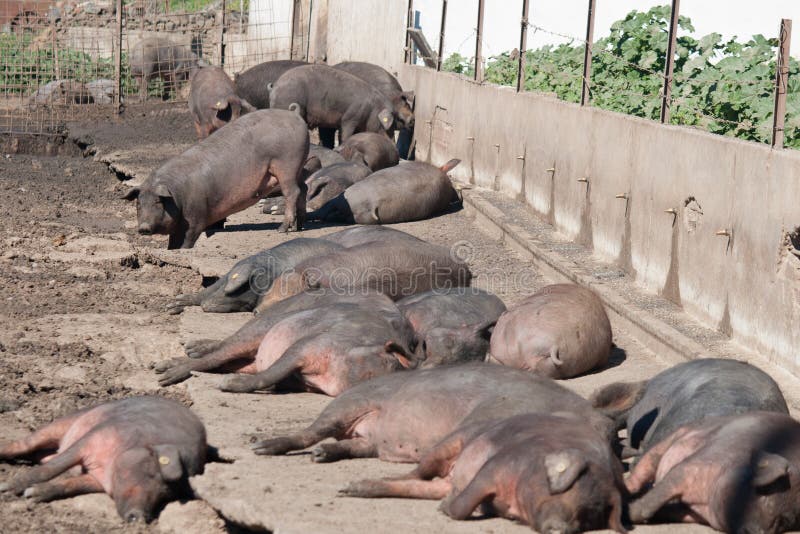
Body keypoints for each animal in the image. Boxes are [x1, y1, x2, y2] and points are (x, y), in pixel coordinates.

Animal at [0, 396, 206, 523]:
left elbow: (70, 486)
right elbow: (53, 468)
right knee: (26, 444)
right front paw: (8, 490)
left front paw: (32, 495)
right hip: (65, 423)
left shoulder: (96, 480)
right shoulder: (91, 439)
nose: (140, 517)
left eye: (166, 495)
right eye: (151, 474)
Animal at [122, 109, 309, 248]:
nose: (144, 228)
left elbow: (187, 240)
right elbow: (172, 244)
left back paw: (282, 229)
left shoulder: (196, 216)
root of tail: (297, 118)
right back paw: (299, 226)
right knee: (304, 189)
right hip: (298, 167)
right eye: (138, 203)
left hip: (287, 164)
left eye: (158, 202)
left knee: (292, 192)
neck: (177, 196)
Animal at [250, 362, 615, 462]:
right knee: (313, 430)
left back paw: (323, 455)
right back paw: (262, 447)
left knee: (360, 446)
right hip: (348, 403)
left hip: (368, 434)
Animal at [342, 413, 626, 534]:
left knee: (422, 486)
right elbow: (465, 504)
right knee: (415, 475)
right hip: (448, 444)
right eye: (571, 490)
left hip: (442, 477)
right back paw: (349, 488)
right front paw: (445, 509)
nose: (561, 529)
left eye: (589, 513)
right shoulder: (498, 465)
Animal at [626, 411, 800, 533]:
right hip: (669, 440)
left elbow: (668, 509)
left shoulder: (692, 513)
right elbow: (653, 500)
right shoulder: (693, 465)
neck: (706, 499)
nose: (757, 532)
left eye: (782, 520)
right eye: (767, 492)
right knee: (642, 471)